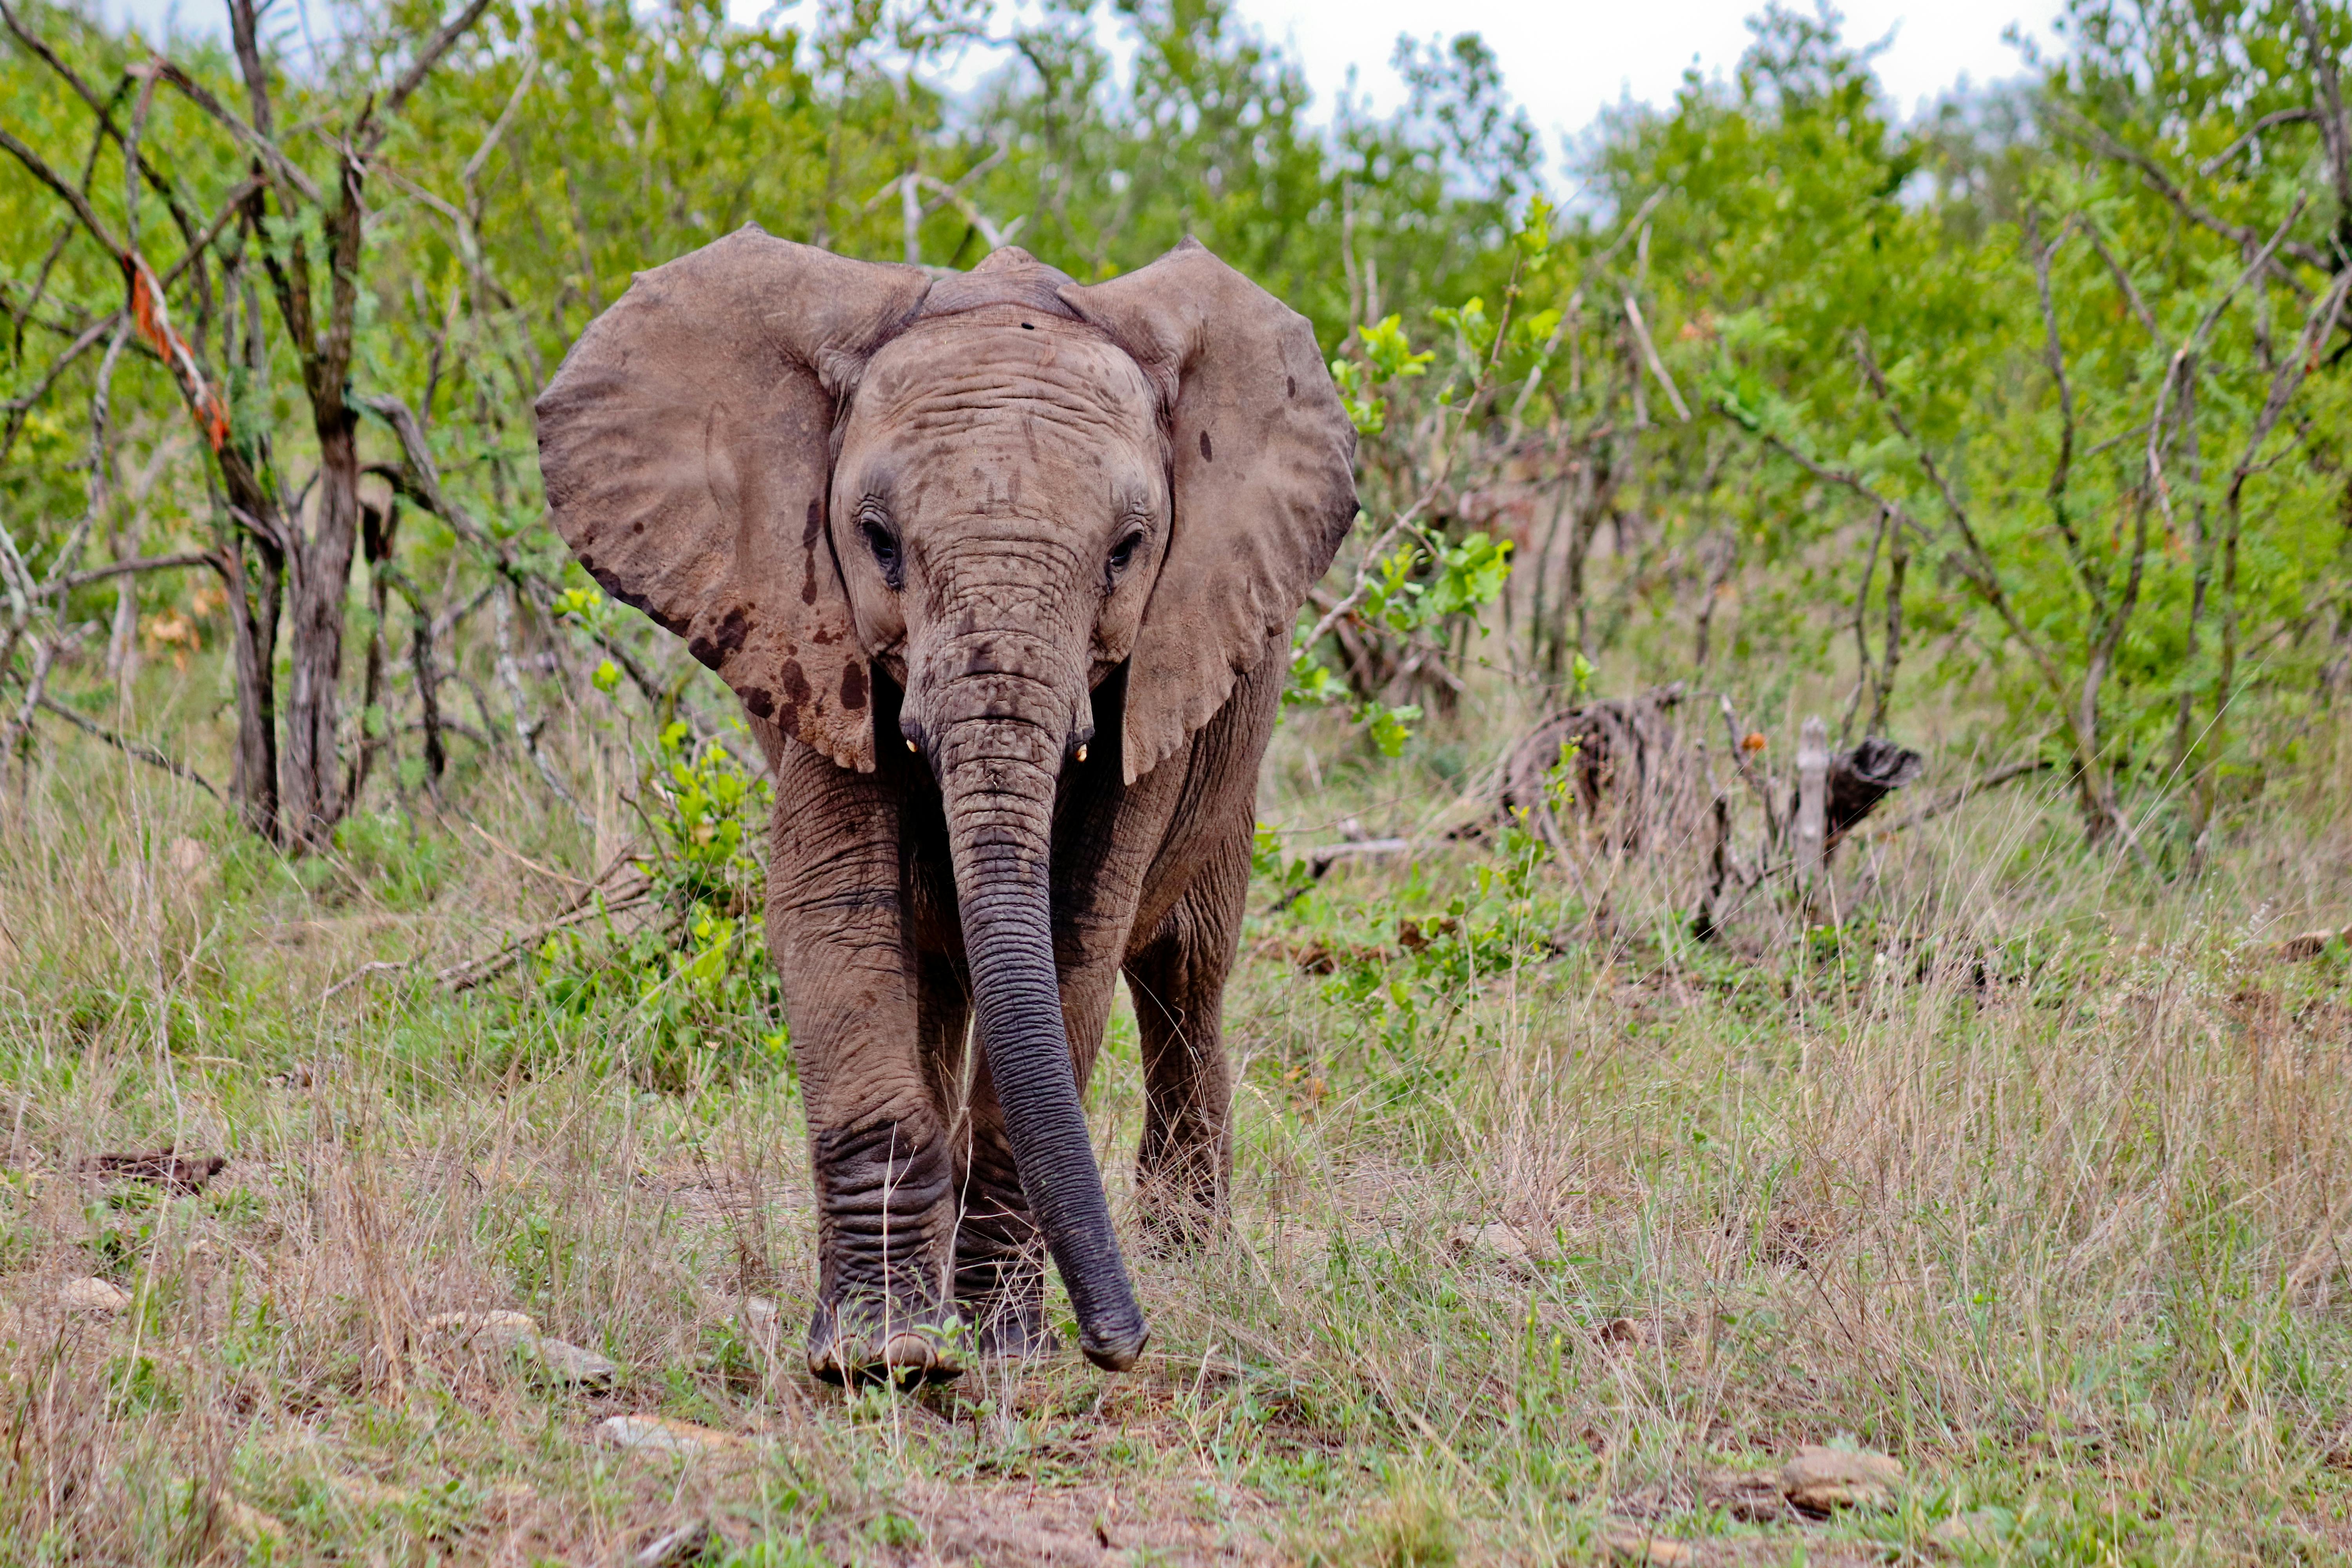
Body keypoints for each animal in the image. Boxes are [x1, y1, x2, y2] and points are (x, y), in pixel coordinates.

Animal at [535, 227, 1357, 1382]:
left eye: (1126, 553)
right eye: (877, 540)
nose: (1122, 1344)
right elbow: (837, 915)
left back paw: (1188, 1252)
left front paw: (1004, 1354)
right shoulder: (811, 627)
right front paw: (884, 1356)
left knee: (1186, 980)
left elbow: (1075, 933)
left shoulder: (1159, 656)